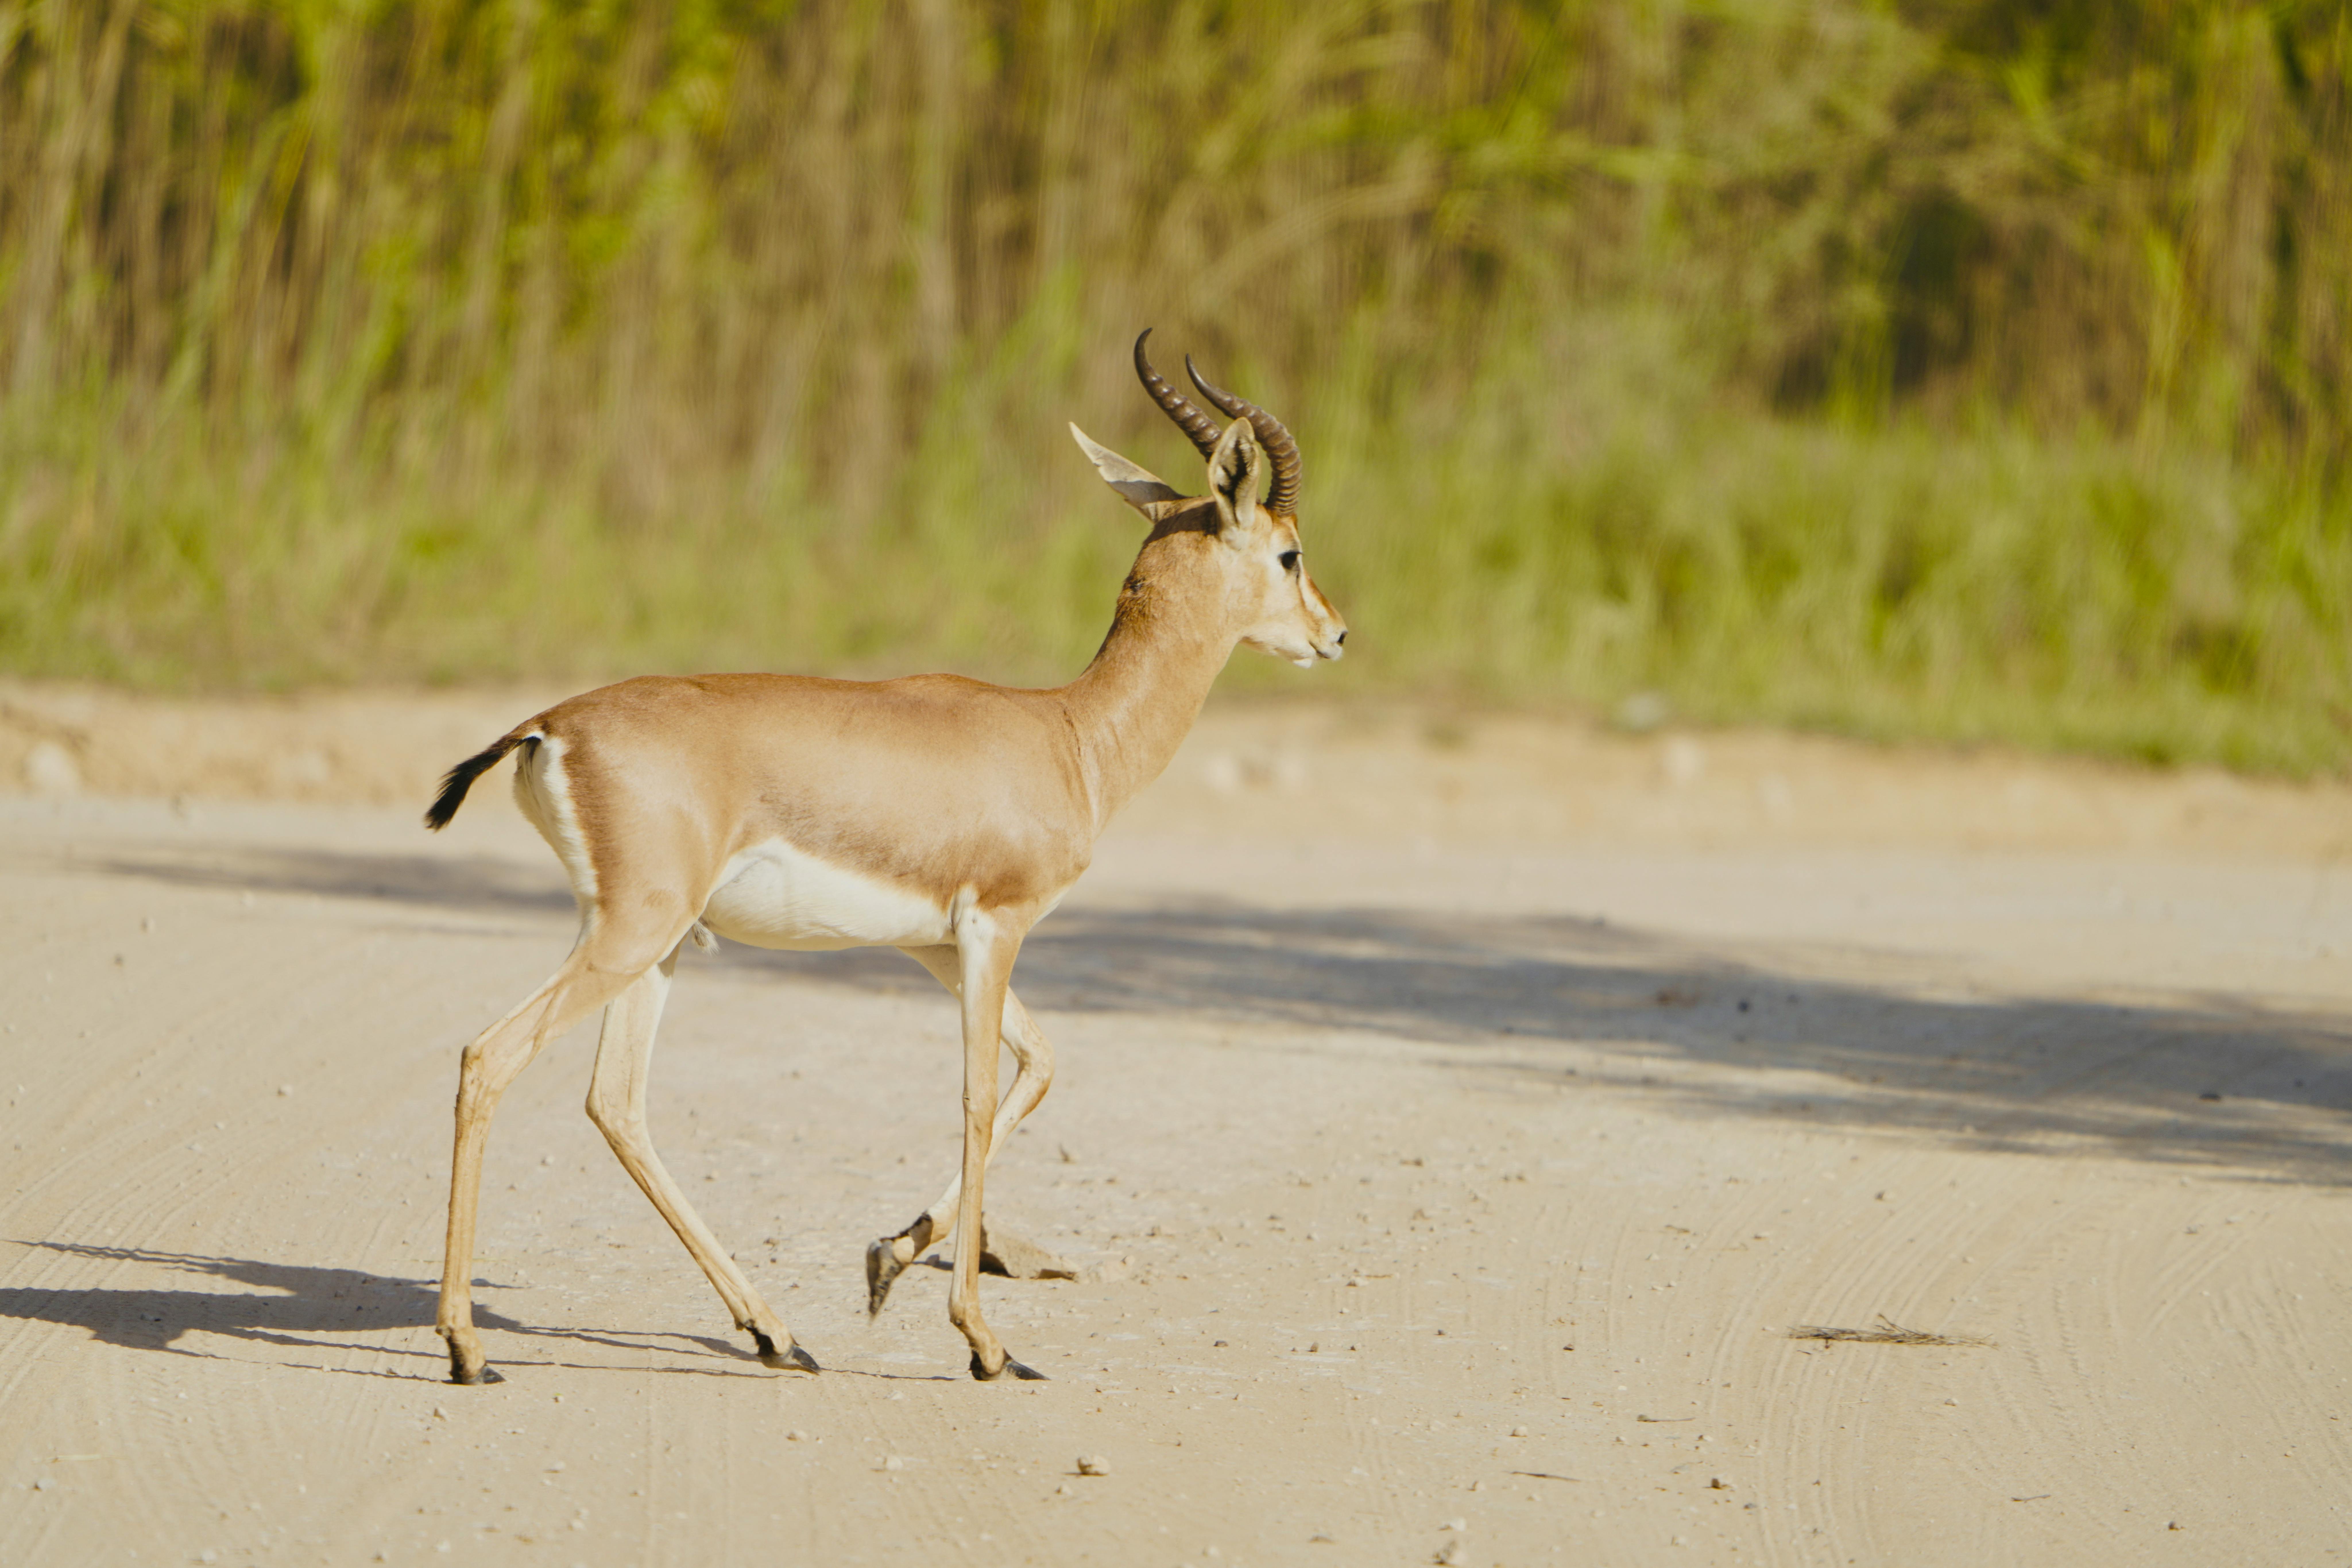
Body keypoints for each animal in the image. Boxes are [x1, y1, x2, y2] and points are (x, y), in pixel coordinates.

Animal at [419, 333, 1345, 1385]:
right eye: (1289, 548)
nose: (1334, 632)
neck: (1069, 734)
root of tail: (548, 726)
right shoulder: (995, 929)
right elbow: (978, 1097)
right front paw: (985, 1343)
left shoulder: (935, 946)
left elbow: (1040, 1066)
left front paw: (887, 1261)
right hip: (632, 935)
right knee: (489, 1057)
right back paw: (467, 1347)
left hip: (655, 946)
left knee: (615, 1103)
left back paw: (776, 1334)